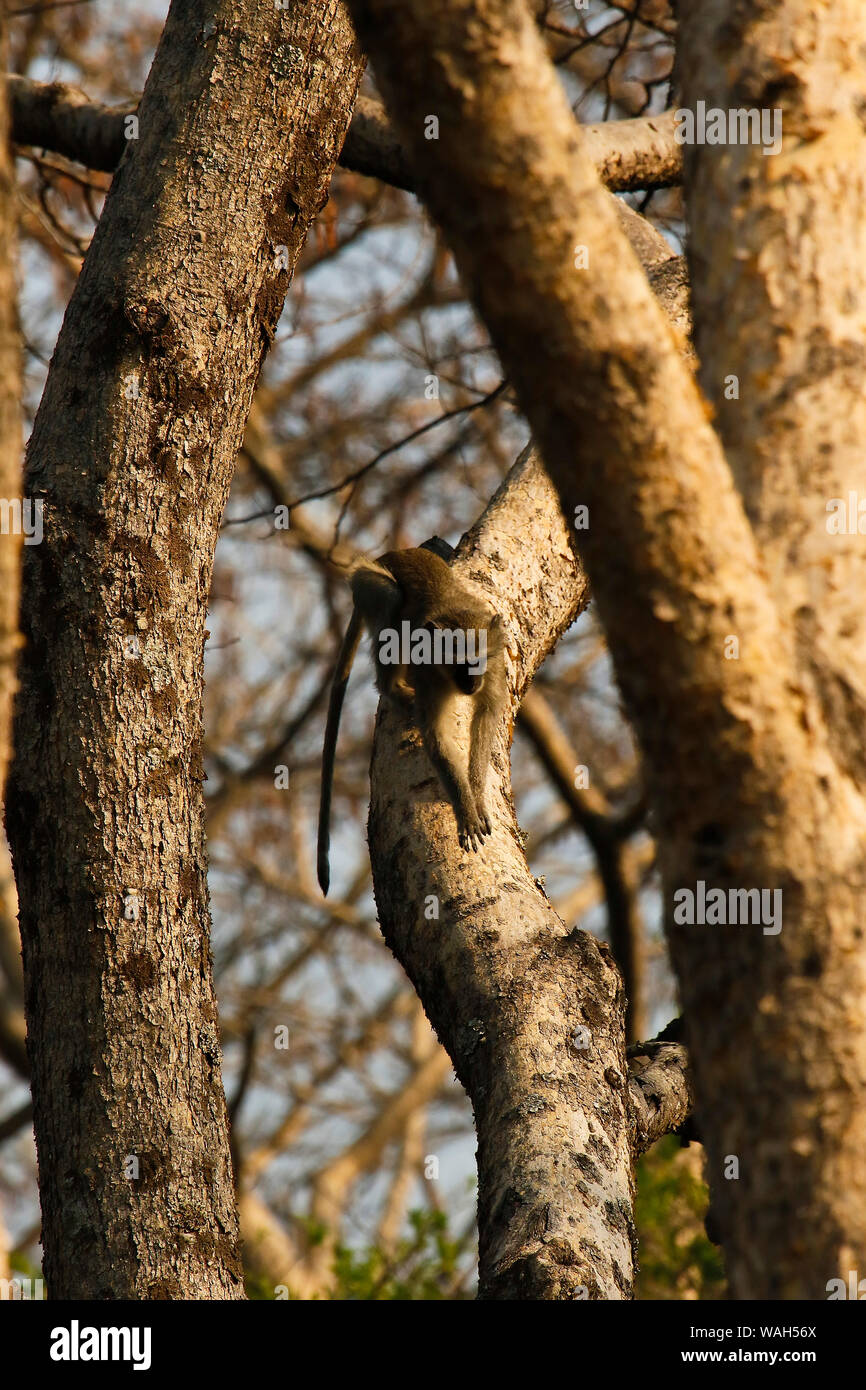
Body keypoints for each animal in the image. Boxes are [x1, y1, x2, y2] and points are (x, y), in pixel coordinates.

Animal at [317, 546, 507, 895]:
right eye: (460, 664)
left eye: (478, 661)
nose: (472, 683)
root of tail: (387, 556)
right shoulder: (428, 673)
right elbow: (436, 737)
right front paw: (465, 809)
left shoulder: (495, 664)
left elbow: (487, 716)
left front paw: (475, 794)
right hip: (367, 586)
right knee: (391, 604)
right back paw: (393, 689)